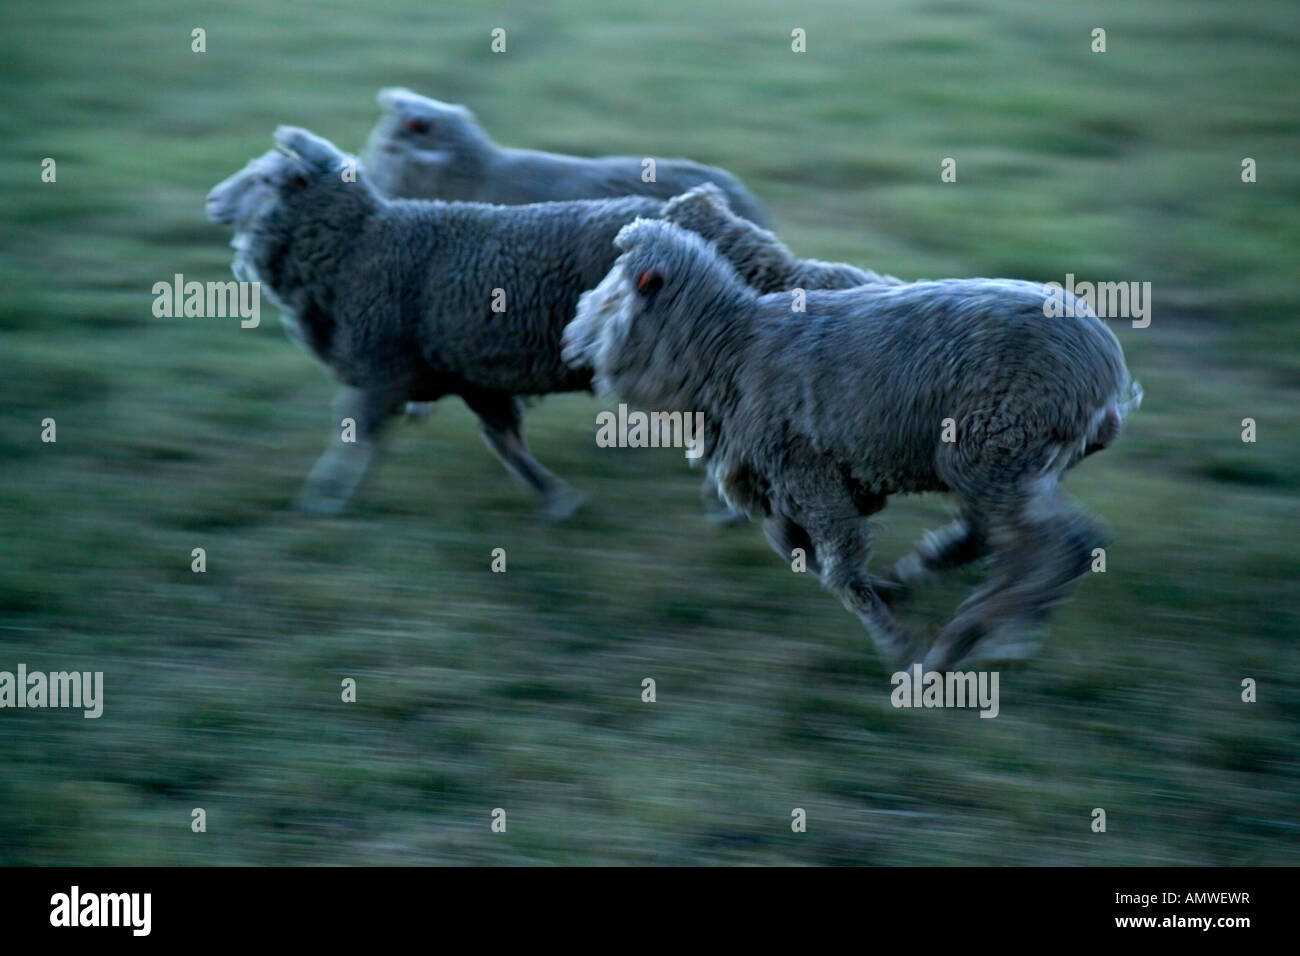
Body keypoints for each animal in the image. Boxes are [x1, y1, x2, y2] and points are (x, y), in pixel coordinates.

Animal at [561, 219, 1141, 671]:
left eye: (612, 294)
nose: (567, 341)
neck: (727, 348)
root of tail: (1108, 368)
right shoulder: (787, 481)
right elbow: (793, 547)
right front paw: (890, 599)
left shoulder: (810, 473)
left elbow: (837, 566)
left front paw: (894, 640)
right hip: (1009, 460)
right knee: (1021, 538)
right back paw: (947, 590)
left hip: (998, 449)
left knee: (1061, 544)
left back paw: (968, 641)